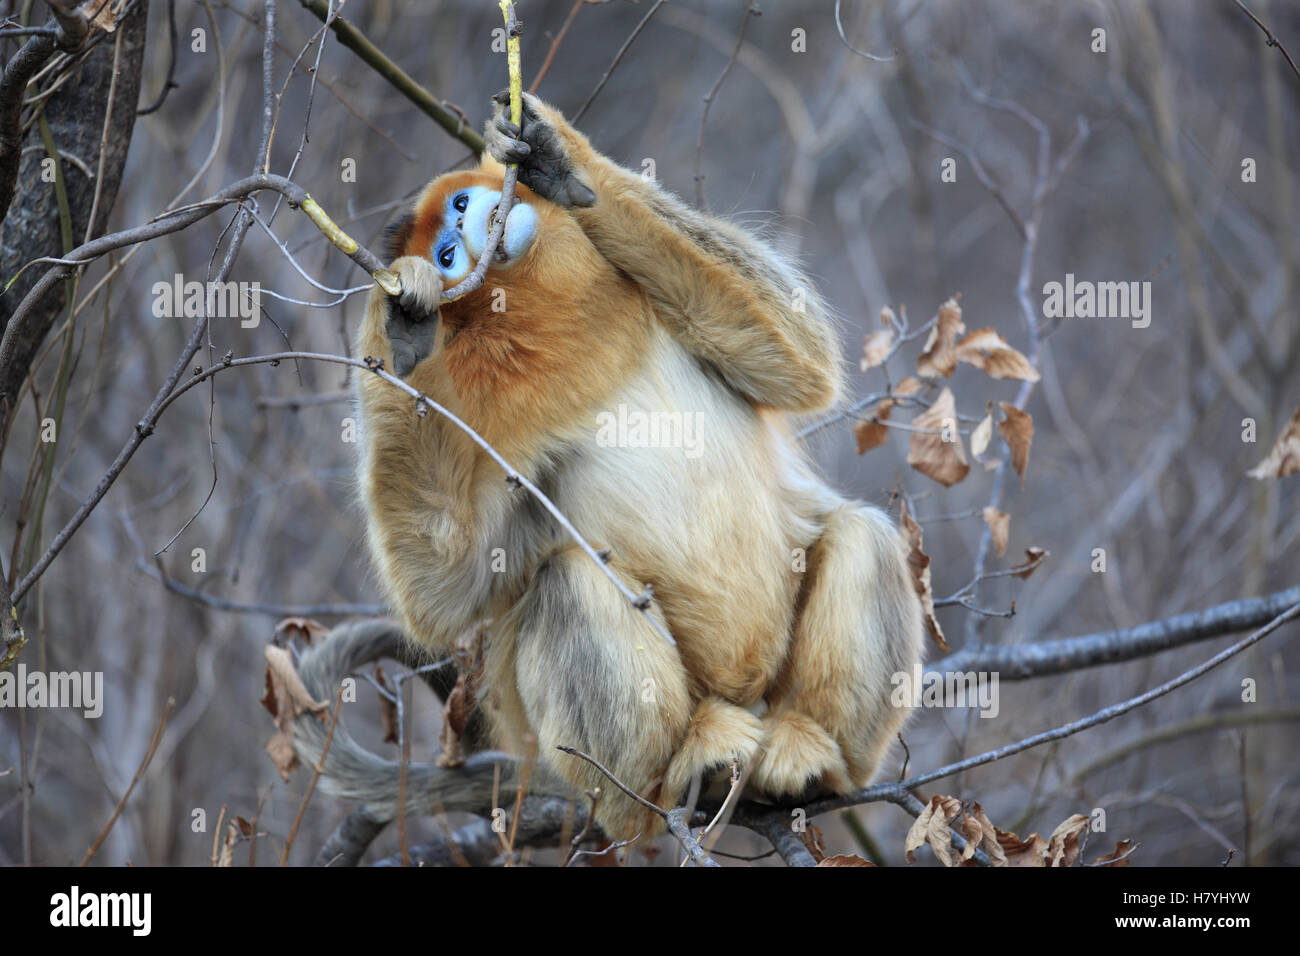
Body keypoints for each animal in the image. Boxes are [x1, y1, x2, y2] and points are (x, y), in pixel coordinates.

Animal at [354, 92, 925, 842]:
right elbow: (446, 592)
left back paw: (811, 757)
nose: (468, 231)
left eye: (458, 211)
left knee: (863, 534)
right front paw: (405, 329)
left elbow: (803, 363)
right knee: (567, 583)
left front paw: (557, 160)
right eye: (447, 257)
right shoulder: (477, 411)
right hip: (593, 770)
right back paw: (675, 777)